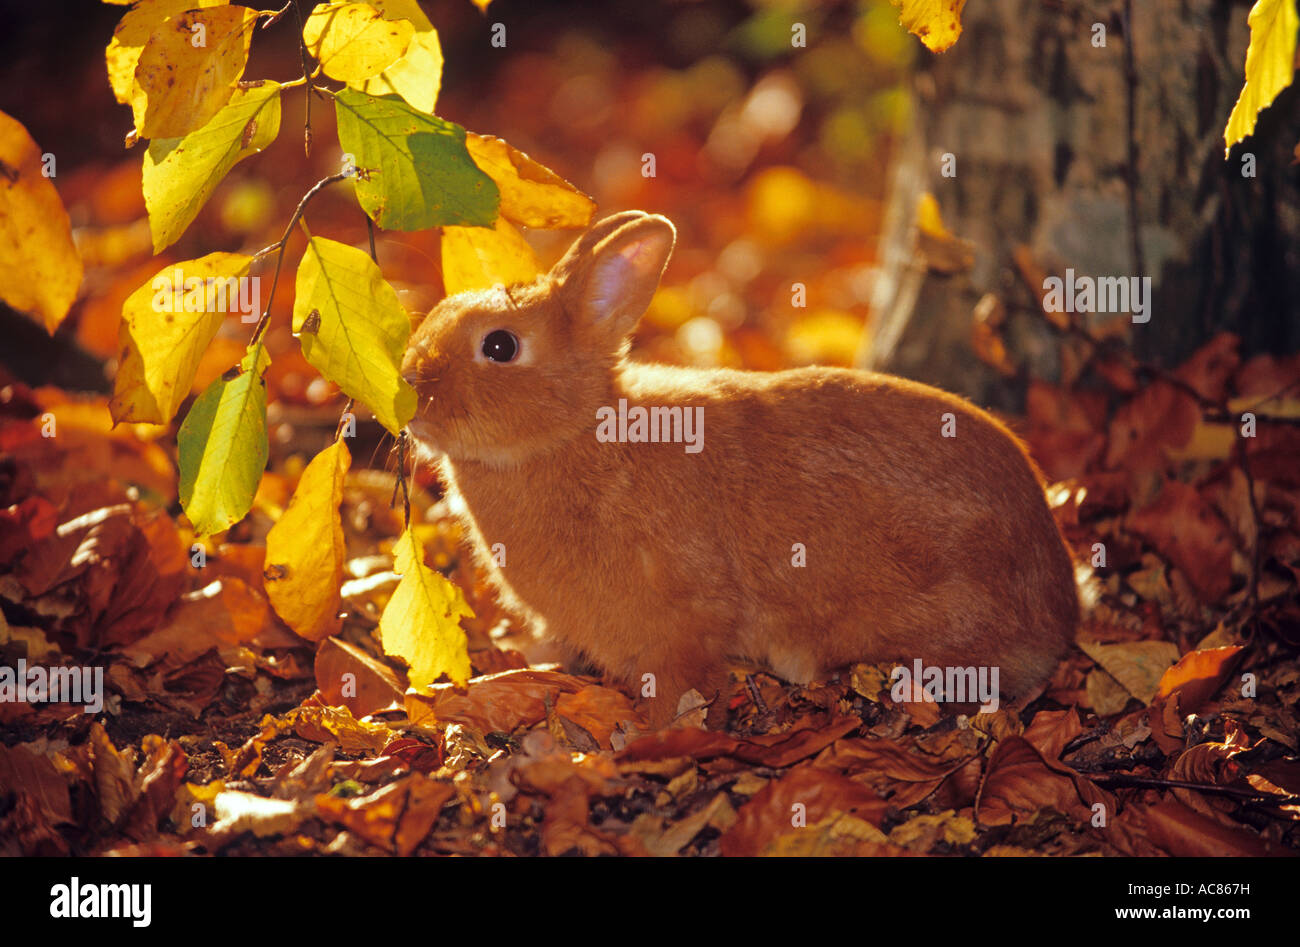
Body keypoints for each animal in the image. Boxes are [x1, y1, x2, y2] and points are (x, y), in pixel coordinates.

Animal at [401, 211, 1079, 730]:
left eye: (500, 346)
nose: (408, 385)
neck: (575, 434)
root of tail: (1061, 608)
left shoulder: (686, 618)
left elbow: (682, 683)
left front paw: (644, 736)